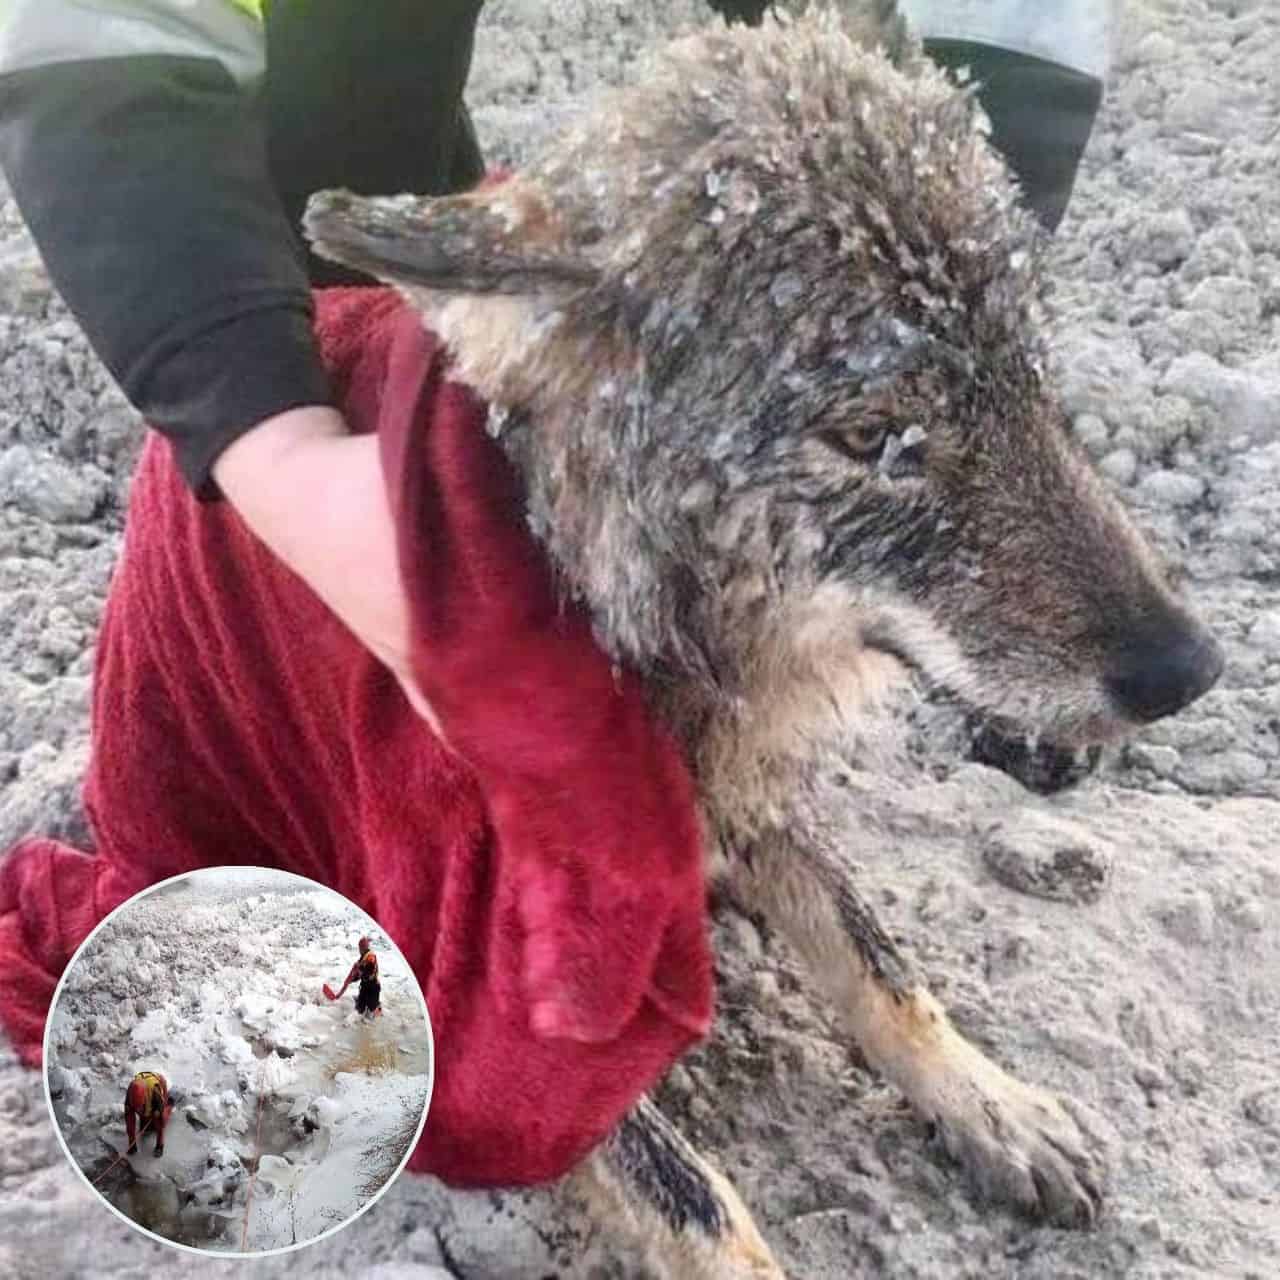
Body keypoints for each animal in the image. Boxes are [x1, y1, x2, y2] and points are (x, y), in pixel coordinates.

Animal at [299, 3, 1223, 1275]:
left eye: (1030, 375)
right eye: (873, 436)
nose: (1188, 669)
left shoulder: (761, 790)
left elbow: (879, 959)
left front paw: (995, 1104)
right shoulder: (485, 1013)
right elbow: (695, 1196)